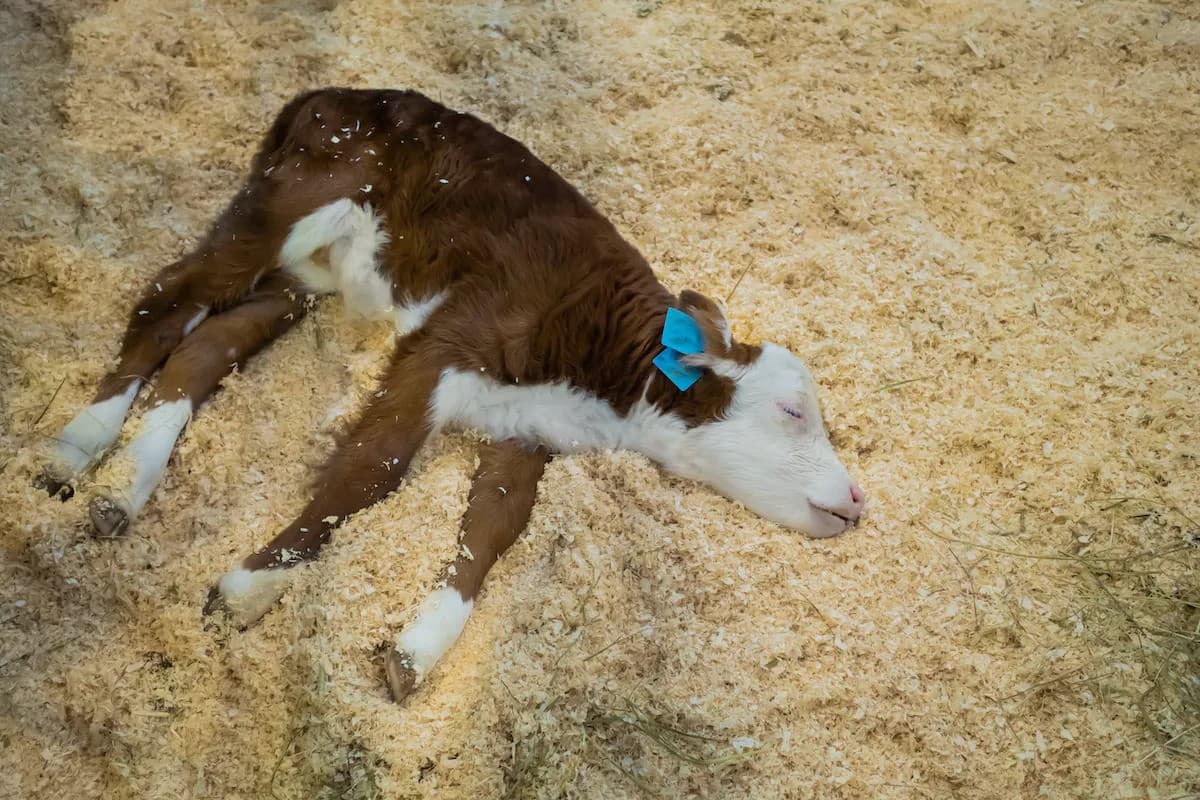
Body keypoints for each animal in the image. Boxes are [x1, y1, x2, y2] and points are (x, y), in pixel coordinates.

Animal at [36, 88, 865, 701]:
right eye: (793, 411)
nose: (856, 498)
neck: (605, 376)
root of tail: (333, 92)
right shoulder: (444, 346)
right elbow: (368, 471)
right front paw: (249, 586)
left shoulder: (531, 428)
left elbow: (495, 528)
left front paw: (416, 650)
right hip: (288, 204)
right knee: (170, 299)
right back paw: (79, 446)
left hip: (310, 276)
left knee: (207, 344)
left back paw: (123, 490)